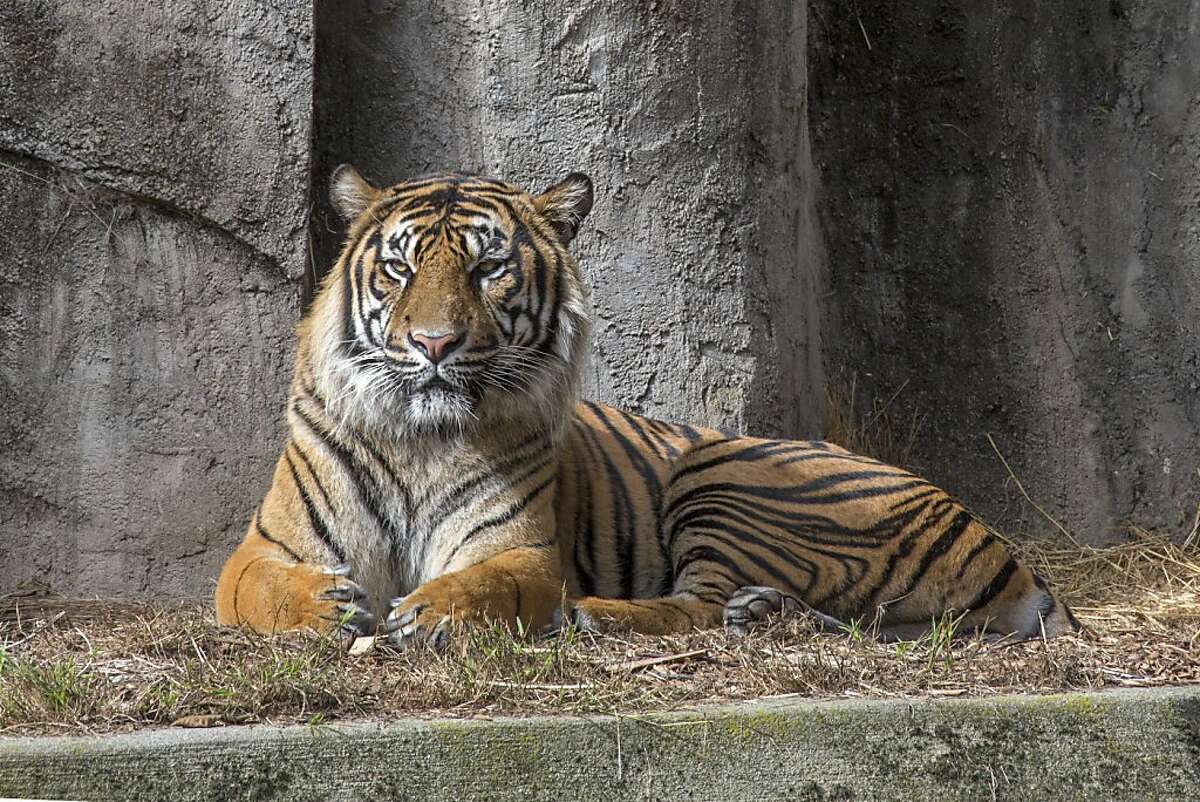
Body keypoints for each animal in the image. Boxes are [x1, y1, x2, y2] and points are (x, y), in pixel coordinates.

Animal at [214, 166, 1078, 647]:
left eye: (490, 269)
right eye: (398, 268)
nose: (434, 344)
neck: (419, 440)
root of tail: (1008, 553)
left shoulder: (525, 553)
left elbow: (487, 584)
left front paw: (429, 612)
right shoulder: (261, 550)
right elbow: (259, 589)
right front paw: (329, 609)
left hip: (727, 477)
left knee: (698, 605)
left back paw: (608, 615)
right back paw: (762, 612)